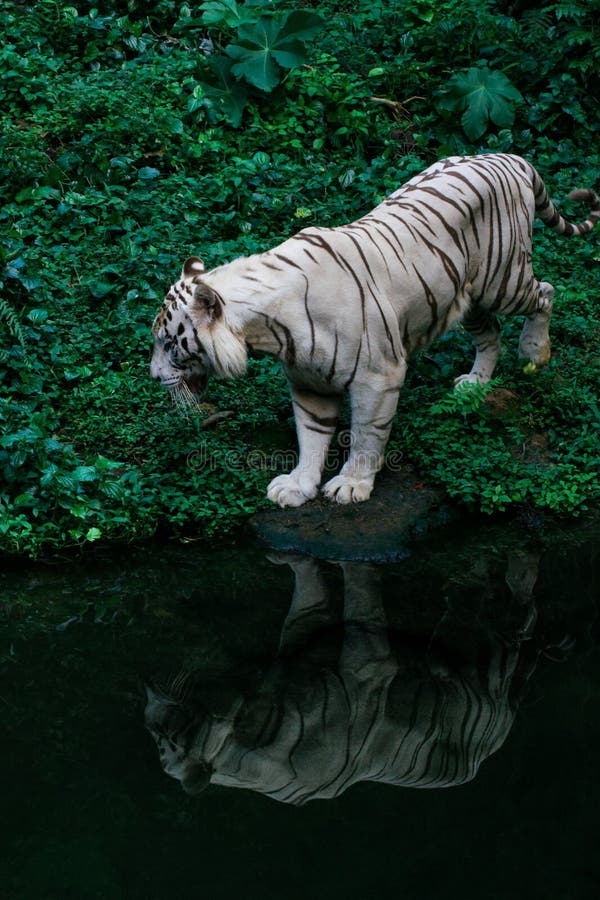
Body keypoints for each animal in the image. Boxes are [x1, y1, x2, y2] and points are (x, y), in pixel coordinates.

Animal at [150, 153, 599, 508]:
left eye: (170, 344)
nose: (153, 378)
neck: (269, 333)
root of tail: (510, 157)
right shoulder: (309, 382)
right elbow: (311, 436)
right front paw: (298, 485)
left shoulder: (377, 376)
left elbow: (366, 434)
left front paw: (351, 485)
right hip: (466, 296)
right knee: (490, 333)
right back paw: (475, 383)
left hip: (503, 279)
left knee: (546, 292)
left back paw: (535, 353)